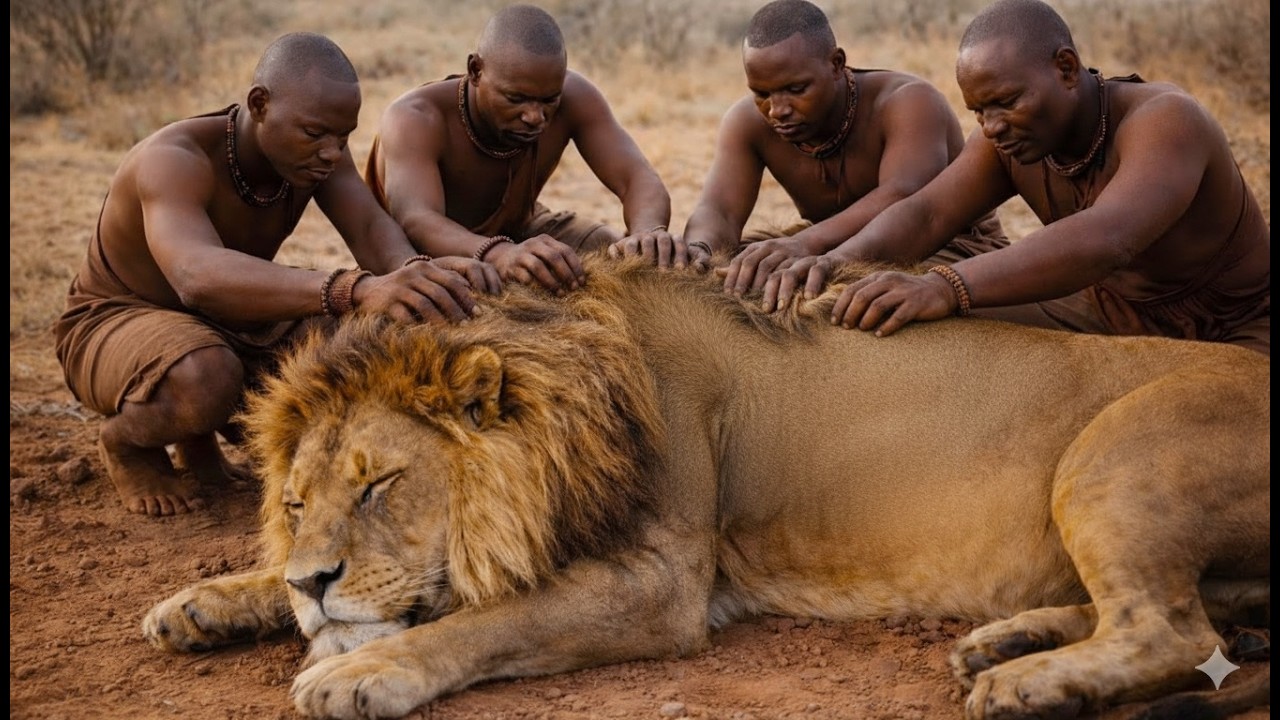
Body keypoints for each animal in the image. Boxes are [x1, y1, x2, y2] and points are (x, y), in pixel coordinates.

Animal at [142, 255, 1270, 720]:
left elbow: (483, 620)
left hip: (1111, 453)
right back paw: (1006, 644)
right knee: (1182, 619)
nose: (313, 583)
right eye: (296, 503)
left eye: (379, 485)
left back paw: (1021, 685)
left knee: (1172, 631)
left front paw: (359, 671)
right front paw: (207, 602)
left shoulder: (661, 580)